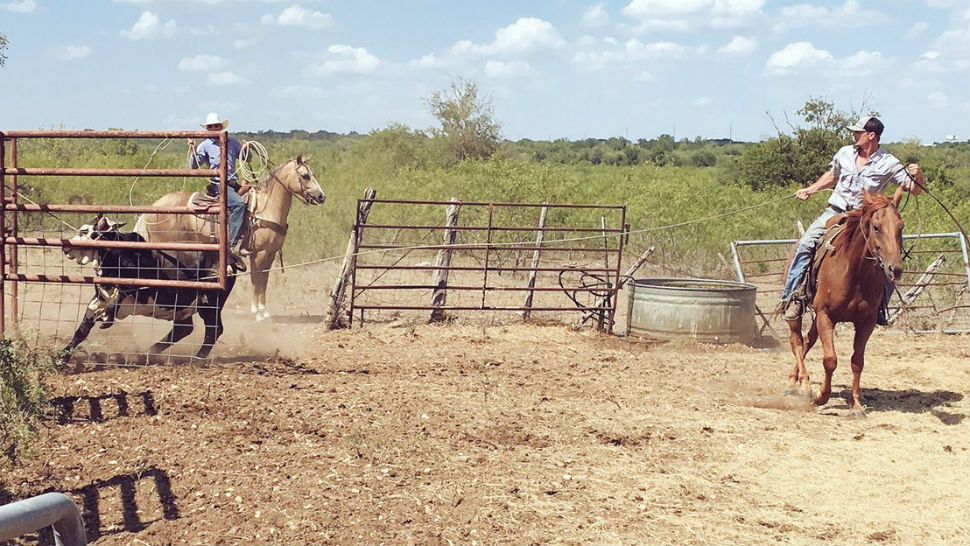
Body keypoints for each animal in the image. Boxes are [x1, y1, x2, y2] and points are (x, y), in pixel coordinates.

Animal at [61, 214, 237, 364]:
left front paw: (106, 319)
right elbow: (83, 329)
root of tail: (230, 258)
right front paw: (62, 357)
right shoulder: (99, 299)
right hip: (181, 306)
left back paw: (197, 359)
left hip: (210, 304)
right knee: (183, 329)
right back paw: (148, 353)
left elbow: (115, 303)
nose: (65, 247)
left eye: (84, 231)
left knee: (213, 330)